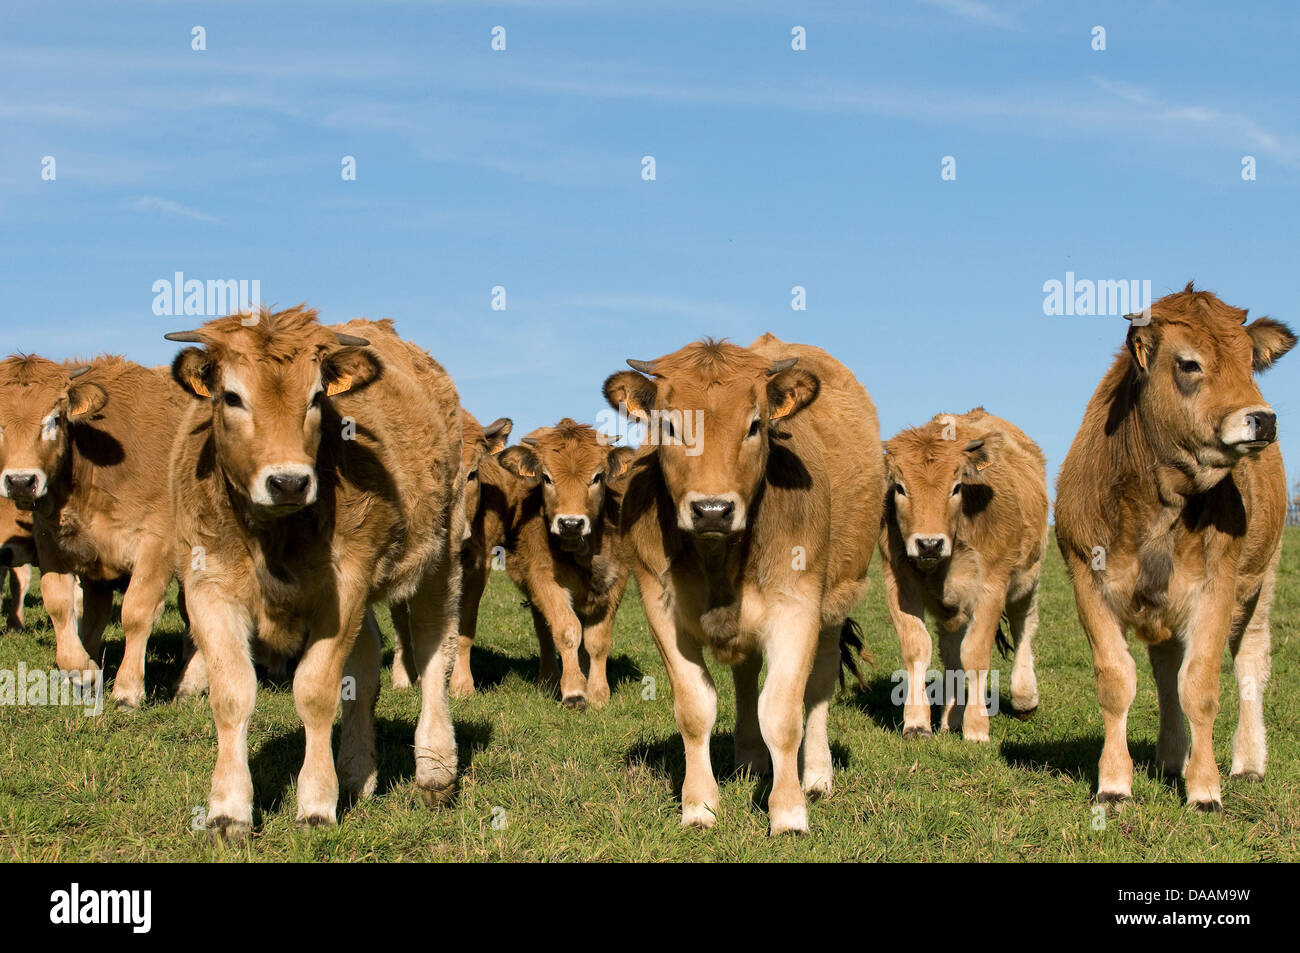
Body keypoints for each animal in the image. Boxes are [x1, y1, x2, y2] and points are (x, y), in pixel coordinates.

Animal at [165, 307, 464, 836]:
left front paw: (317, 802)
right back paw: (357, 773)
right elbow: (231, 694)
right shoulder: (207, 586)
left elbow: (316, 690)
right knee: (365, 663)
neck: (273, 535)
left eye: (316, 397)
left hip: (439, 551)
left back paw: (435, 769)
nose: (288, 481)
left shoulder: (343, 587)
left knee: (434, 651)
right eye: (232, 396)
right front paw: (228, 808)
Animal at [478, 418, 636, 709]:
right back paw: (550, 680)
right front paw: (574, 691)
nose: (570, 523)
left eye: (597, 477)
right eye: (546, 477)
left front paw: (598, 693)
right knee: (545, 630)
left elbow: (597, 640)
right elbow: (566, 631)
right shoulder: (544, 579)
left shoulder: (616, 579)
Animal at [603, 333, 884, 834]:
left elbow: (784, 713)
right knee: (746, 675)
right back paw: (752, 760)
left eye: (755, 425)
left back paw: (817, 775)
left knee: (819, 688)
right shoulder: (660, 607)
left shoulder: (796, 607)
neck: (719, 560)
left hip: (837, 598)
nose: (712, 509)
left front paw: (789, 811)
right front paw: (698, 805)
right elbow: (695, 709)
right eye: (669, 426)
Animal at [880, 408, 1048, 741]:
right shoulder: (899, 584)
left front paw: (977, 728)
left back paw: (1024, 698)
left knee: (1023, 625)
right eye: (900, 488)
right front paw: (916, 723)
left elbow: (976, 653)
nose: (929, 543)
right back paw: (951, 718)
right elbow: (918, 648)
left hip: (1026, 579)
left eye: (956, 487)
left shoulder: (992, 587)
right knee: (951, 650)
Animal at [1055, 284, 1294, 812]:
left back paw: (1247, 762)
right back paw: (1170, 756)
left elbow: (1200, 685)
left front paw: (1204, 789)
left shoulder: (1216, 587)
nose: (1263, 420)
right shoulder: (1087, 579)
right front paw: (1114, 784)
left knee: (1250, 663)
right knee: (1166, 669)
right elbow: (1117, 681)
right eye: (1189, 364)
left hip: (1262, 580)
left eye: (1249, 361)